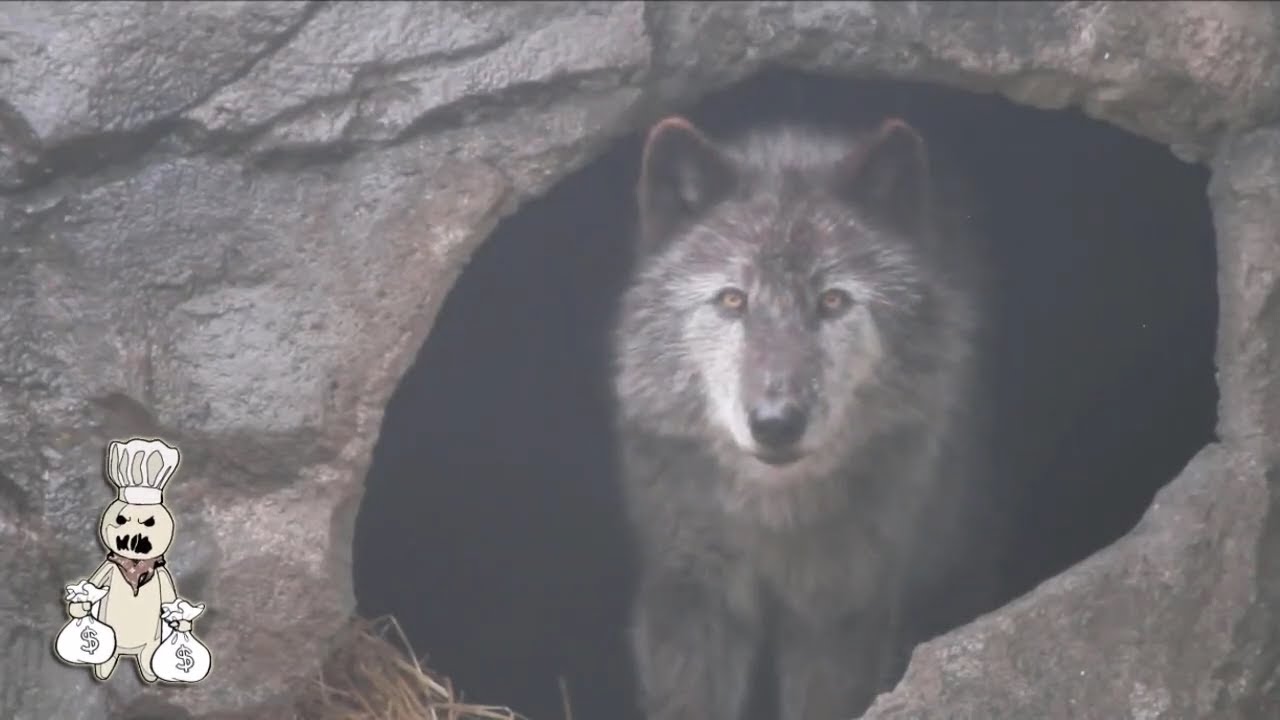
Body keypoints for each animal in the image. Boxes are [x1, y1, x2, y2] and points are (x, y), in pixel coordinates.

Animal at [610, 113, 1004, 720]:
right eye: (733, 300)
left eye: (833, 301)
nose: (775, 421)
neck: (777, 517)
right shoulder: (690, 591)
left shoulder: (841, 606)